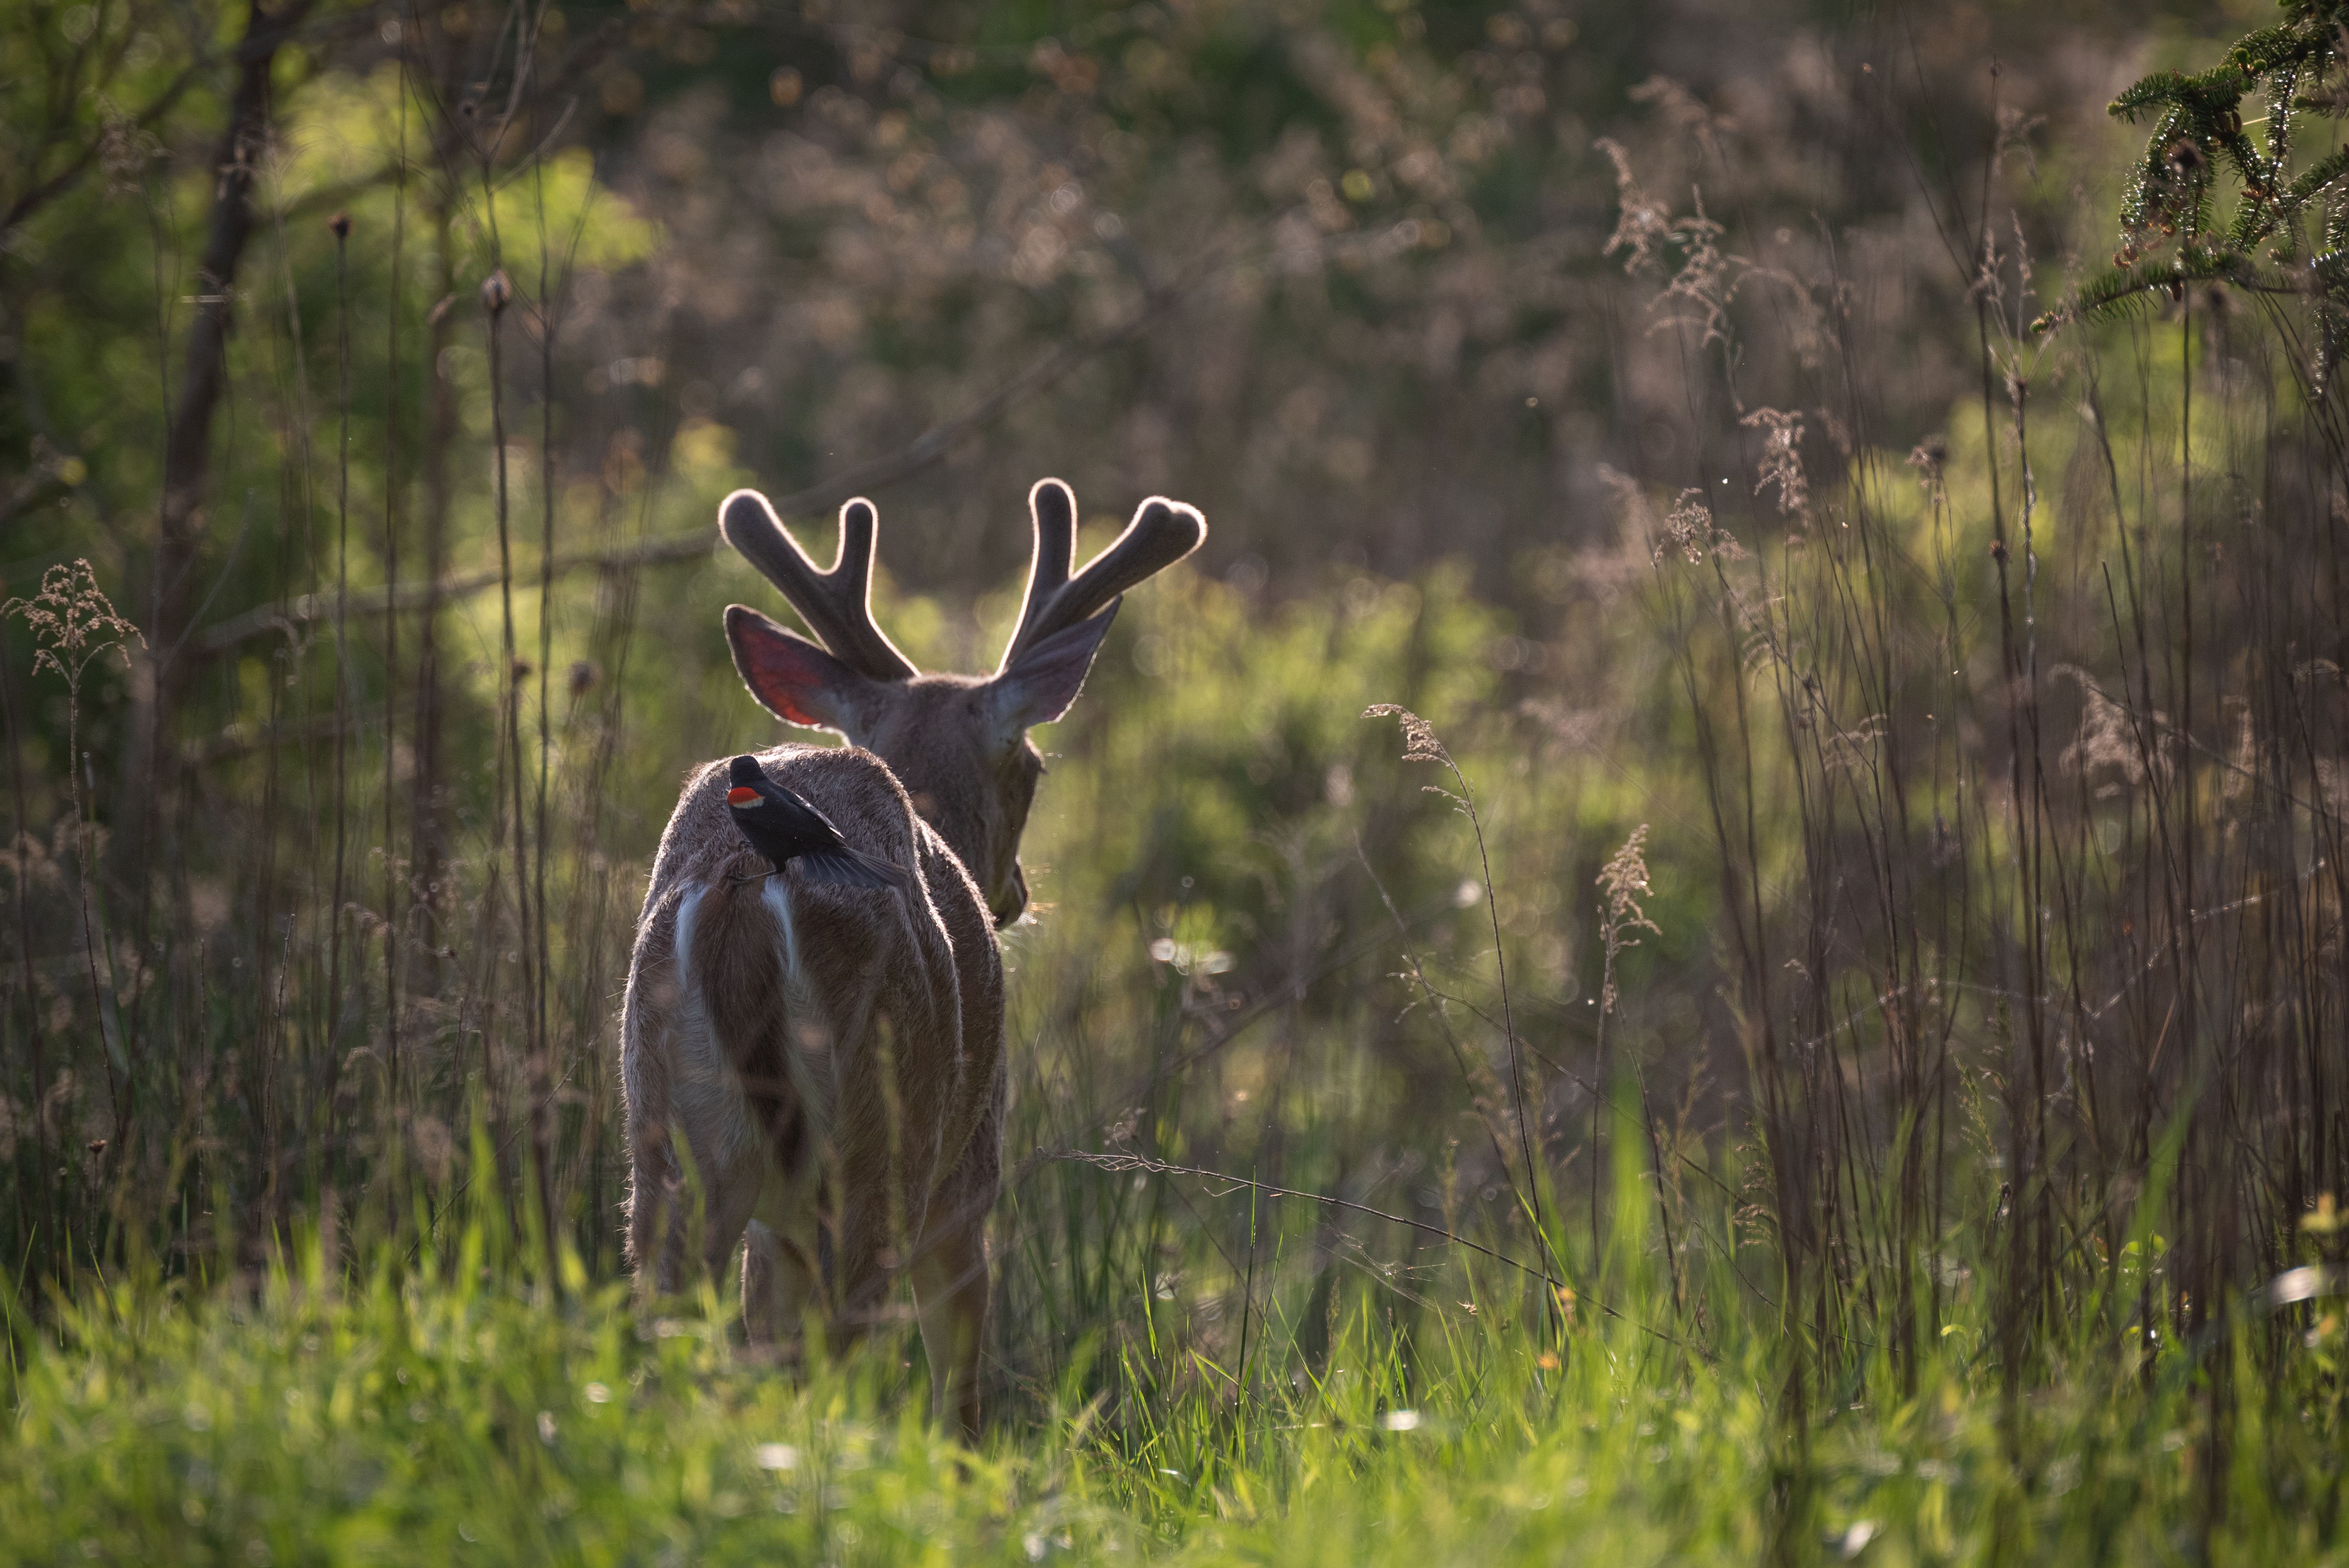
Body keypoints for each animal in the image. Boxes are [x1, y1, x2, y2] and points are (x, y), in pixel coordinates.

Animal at [620, 477, 1205, 1436]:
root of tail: (747, 882)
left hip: (669, 1143)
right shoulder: (968, 1188)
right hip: (883, 1133)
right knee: (830, 1352)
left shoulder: (769, 1233)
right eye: (1035, 768)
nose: (1016, 894)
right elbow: (960, 1398)